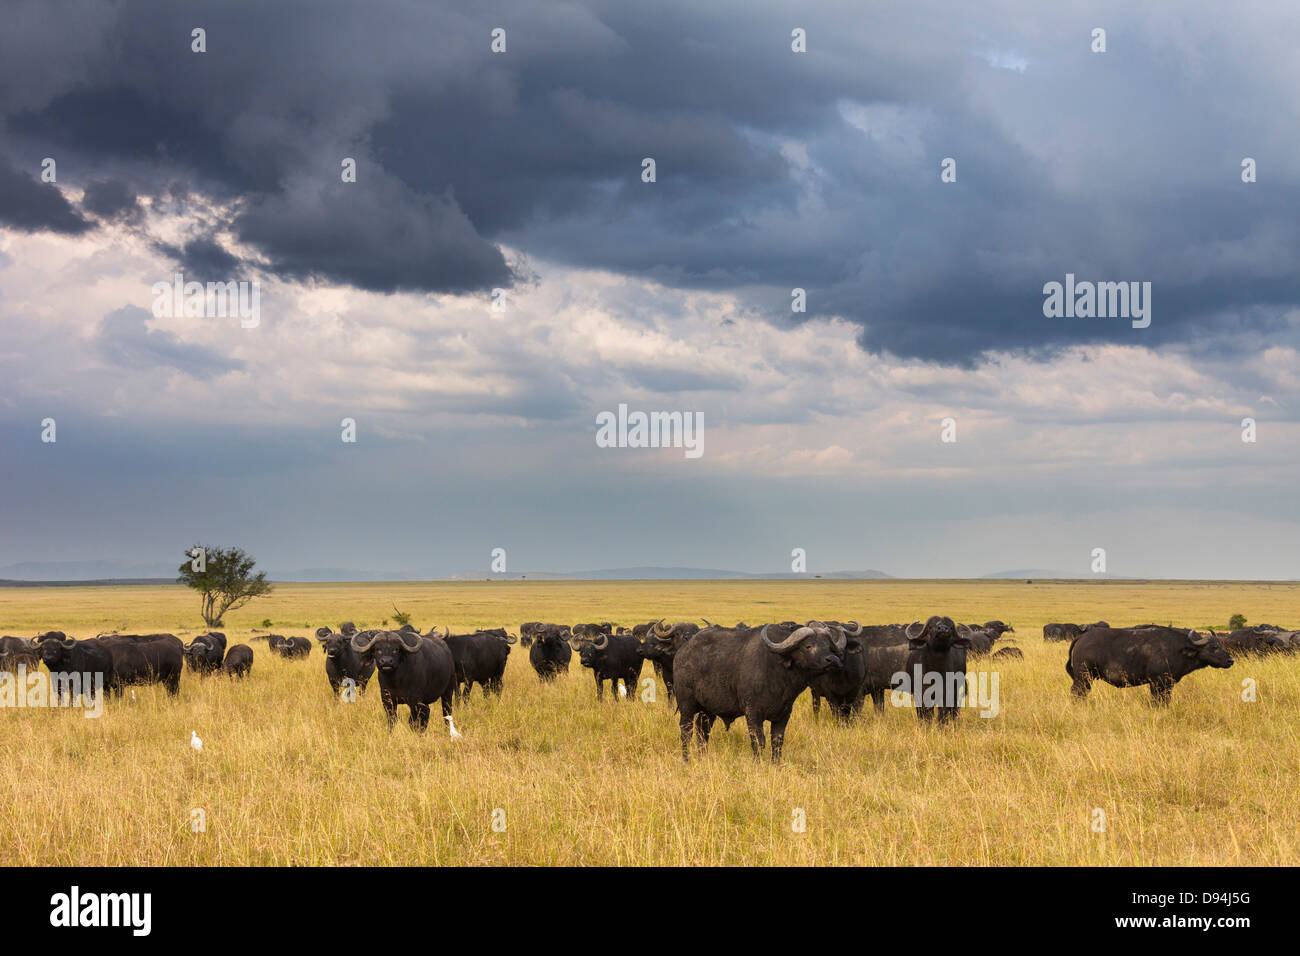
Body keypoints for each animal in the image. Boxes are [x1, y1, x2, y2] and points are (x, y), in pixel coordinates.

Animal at [672, 621, 846, 762]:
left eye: (829, 646)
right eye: (808, 646)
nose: (833, 660)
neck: (779, 673)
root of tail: (681, 653)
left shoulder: (784, 714)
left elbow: (777, 741)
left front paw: (776, 764)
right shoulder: (753, 713)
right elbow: (758, 741)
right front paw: (758, 763)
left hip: (708, 710)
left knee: (703, 731)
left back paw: (703, 757)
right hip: (686, 705)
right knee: (686, 730)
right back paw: (686, 759)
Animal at [1066, 626, 1233, 705]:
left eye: (1220, 644)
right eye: (1213, 647)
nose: (1230, 660)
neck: (1177, 650)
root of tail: (1082, 637)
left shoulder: (1168, 685)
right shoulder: (1156, 683)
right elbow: (1157, 701)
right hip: (1083, 677)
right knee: (1077, 693)